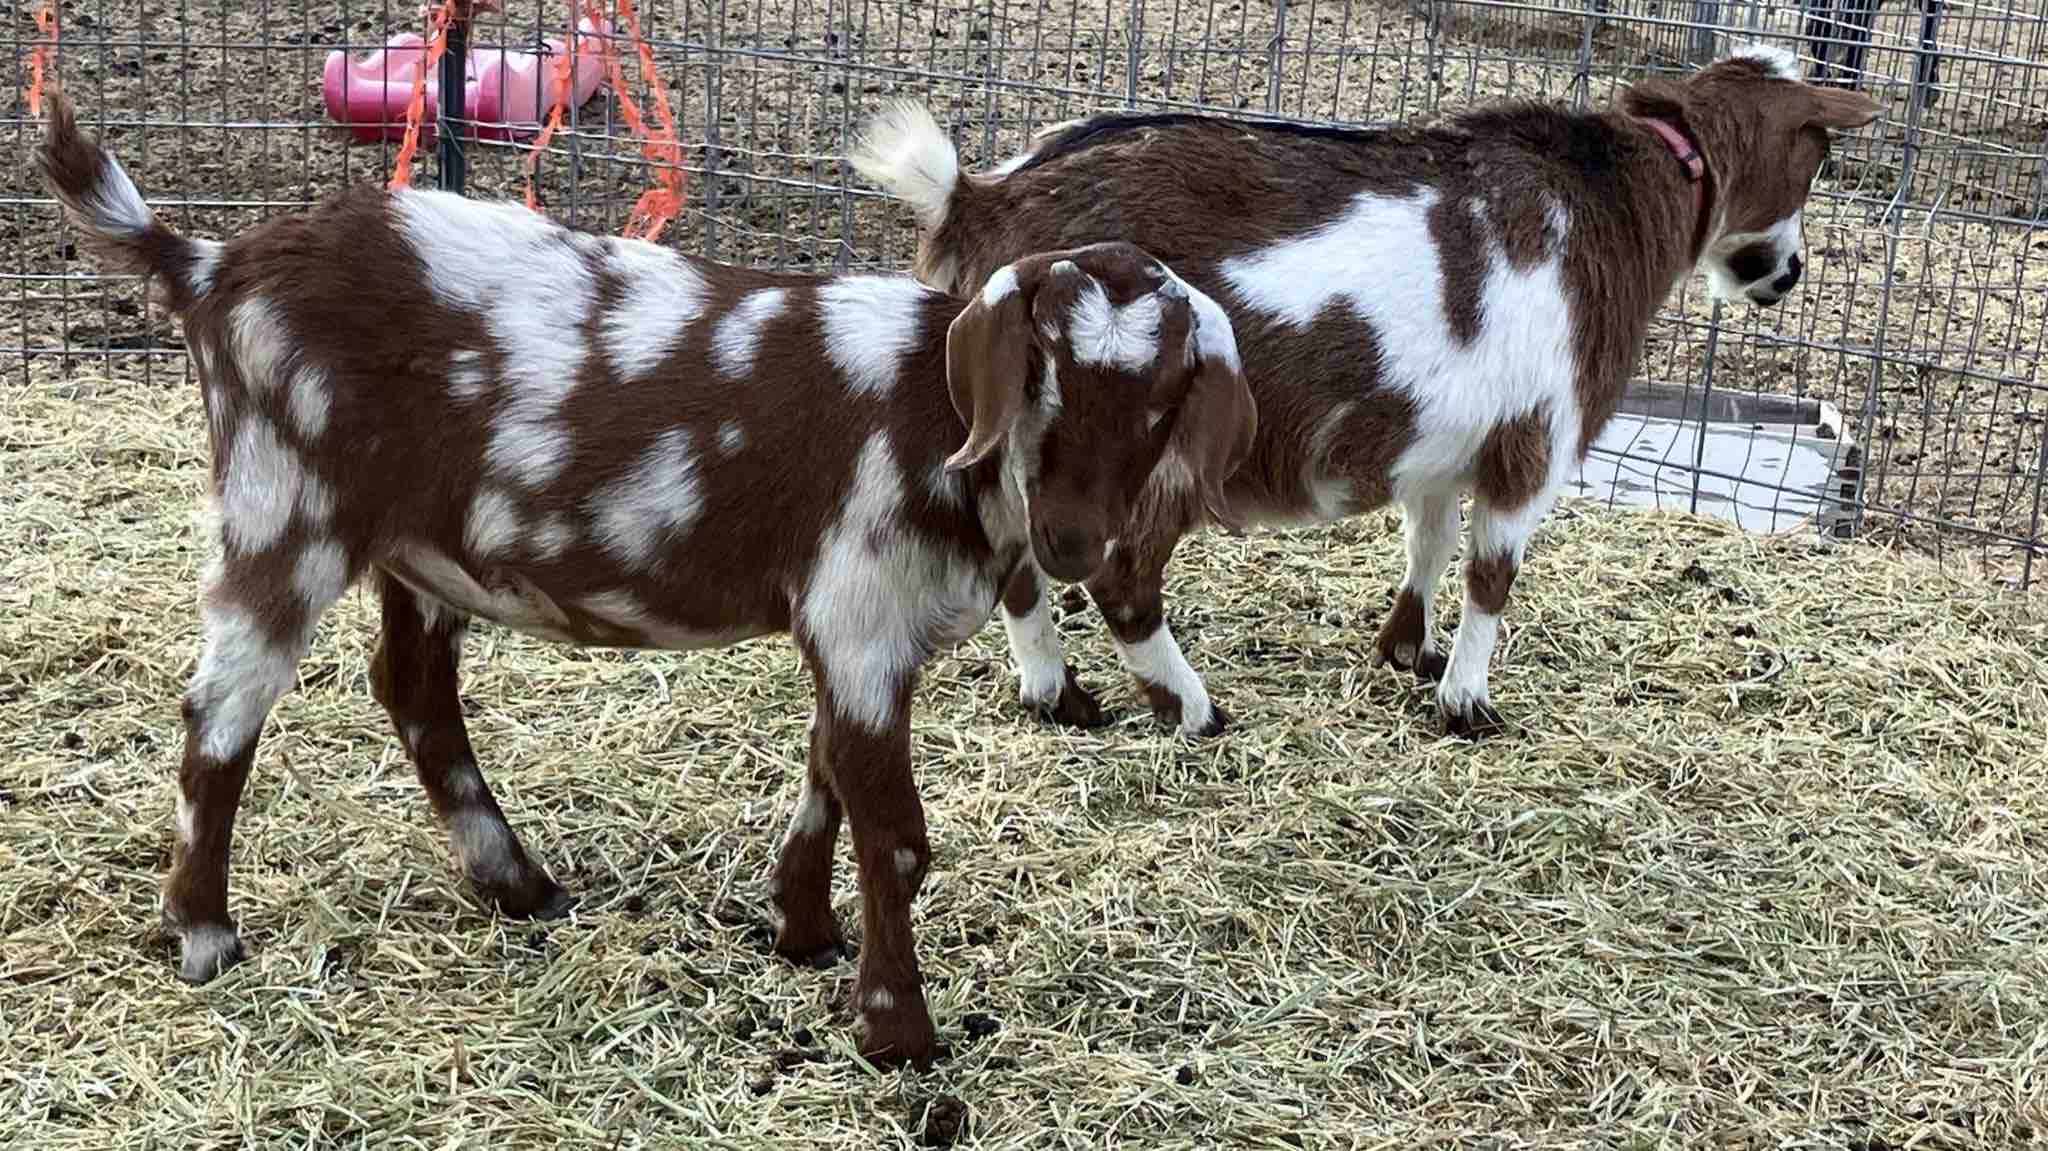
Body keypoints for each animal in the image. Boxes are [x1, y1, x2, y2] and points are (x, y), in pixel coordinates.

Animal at [36, 90, 1254, 1067]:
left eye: (1165, 400)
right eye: (1040, 366)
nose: (1072, 542)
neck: (930, 409)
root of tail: (214, 267)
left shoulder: (854, 630)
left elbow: (825, 772)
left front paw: (801, 931)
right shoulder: (860, 611)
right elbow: (896, 835)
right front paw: (898, 1032)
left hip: (416, 542)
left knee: (411, 687)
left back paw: (517, 884)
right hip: (284, 506)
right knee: (220, 713)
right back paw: (203, 932)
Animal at [853, 44, 1877, 739]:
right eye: (1819, 154)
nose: (1789, 274)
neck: (1615, 199)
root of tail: (981, 205)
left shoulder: (1441, 441)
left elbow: (1429, 538)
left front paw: (1408, 651)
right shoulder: (1534, 440)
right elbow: (1491, 574)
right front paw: (1466, 703)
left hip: (1004, 432)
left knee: (1017, 560)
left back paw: (1056, 694)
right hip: (1134, 439)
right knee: (1116, 574)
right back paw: (1192, 710)